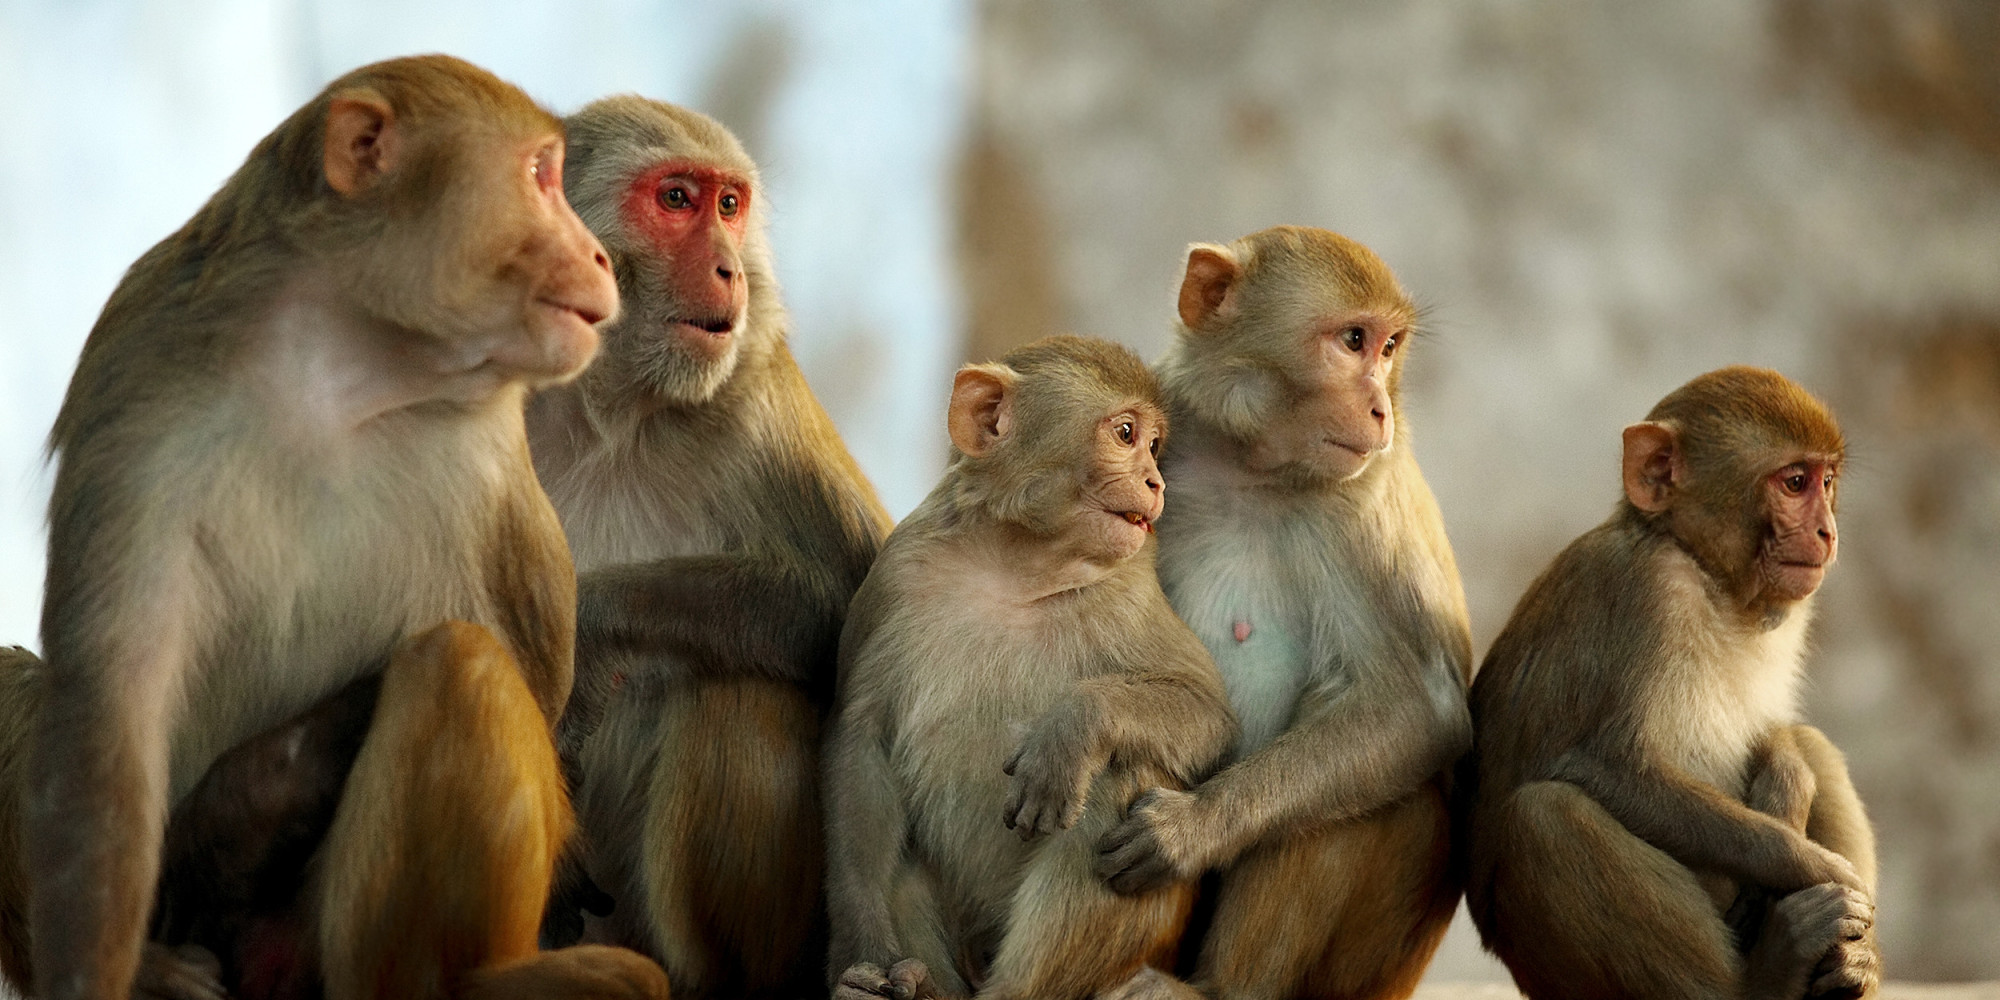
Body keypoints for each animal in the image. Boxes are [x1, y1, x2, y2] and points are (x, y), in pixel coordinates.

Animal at [13, 55, 668, 1000]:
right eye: (541, 175)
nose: (599, 254)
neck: (342, 366)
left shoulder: (489, 446)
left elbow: (533, 673)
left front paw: (240, 808)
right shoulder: (136, 384)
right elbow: (108, 717)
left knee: (457, 663)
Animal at [523, 96, 891, 999]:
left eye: (729, 206)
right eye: (676, 199)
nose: (729, 270)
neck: (608, 409)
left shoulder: (757, 402)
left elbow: (858, 610)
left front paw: (590, 628)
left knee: (735, 687)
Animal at [824, 335, 1238, 1000]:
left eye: (1154, 446)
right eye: (1127, 434)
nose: (1155, 482)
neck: (1017, 568)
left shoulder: (1130, 590)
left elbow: (1208, 715)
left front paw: (1072, 731)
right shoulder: (897, 572)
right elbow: (862, 743)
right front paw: (860, 956)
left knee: (1120, 776)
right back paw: (917, 985)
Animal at [1082, 226, 1472, 1000]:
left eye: (1389, 347)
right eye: (1353, 340)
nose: (1380, 408)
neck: (1249, 467)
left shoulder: (1364, 504)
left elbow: (1420, 707)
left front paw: (1192, 829)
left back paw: (1215, 991)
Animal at [1462, 366, 1881, 1000]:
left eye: (1826, 481)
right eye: (1795, 482)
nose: (1826, 531)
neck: (1709, 576)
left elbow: (1780, 736)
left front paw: (1786, 783)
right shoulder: (1652, 591)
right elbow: (1610, 766)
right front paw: (1806, 862)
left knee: (1817, 746)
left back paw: (1849, 968)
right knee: (1545, 817)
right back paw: (1770, 974)